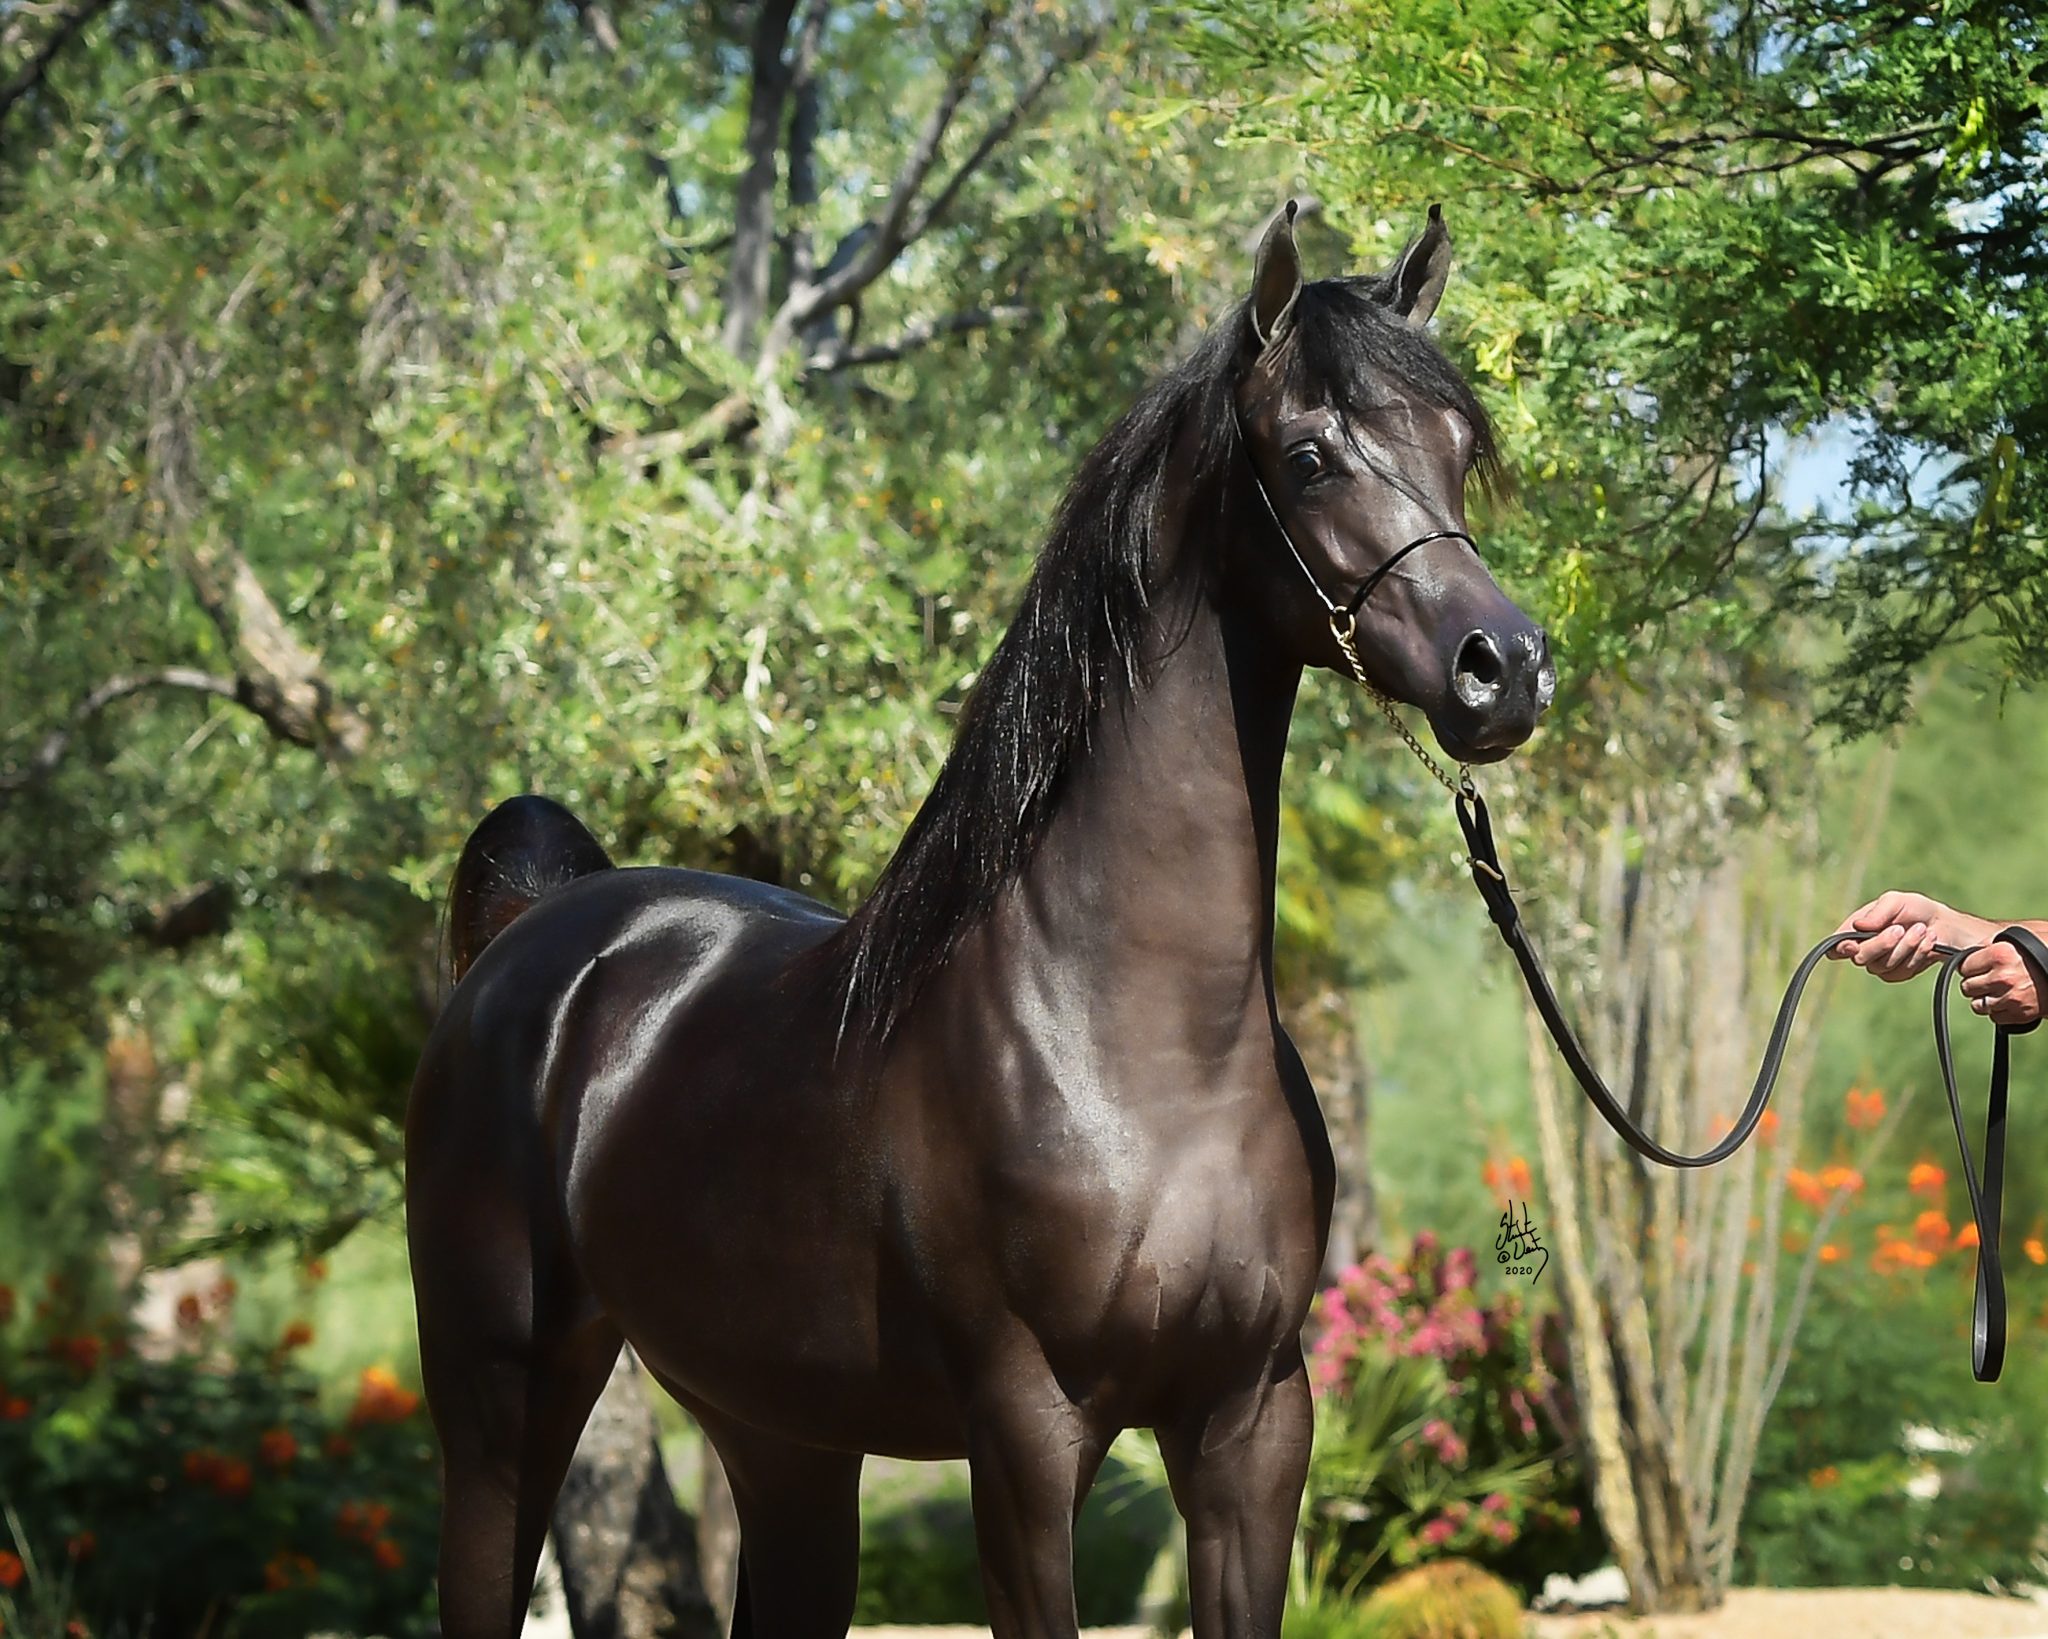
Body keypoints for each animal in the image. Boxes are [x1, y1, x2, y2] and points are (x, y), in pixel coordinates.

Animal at [406, 201, 1555, 1639]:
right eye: (1309, 455)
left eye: (1457, 447)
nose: (1504, 668)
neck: (1133, 1046)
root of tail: (541, 929)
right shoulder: (1023, 1432)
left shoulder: (1252, 1420)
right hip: (501, 1399)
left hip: (780, 1435)